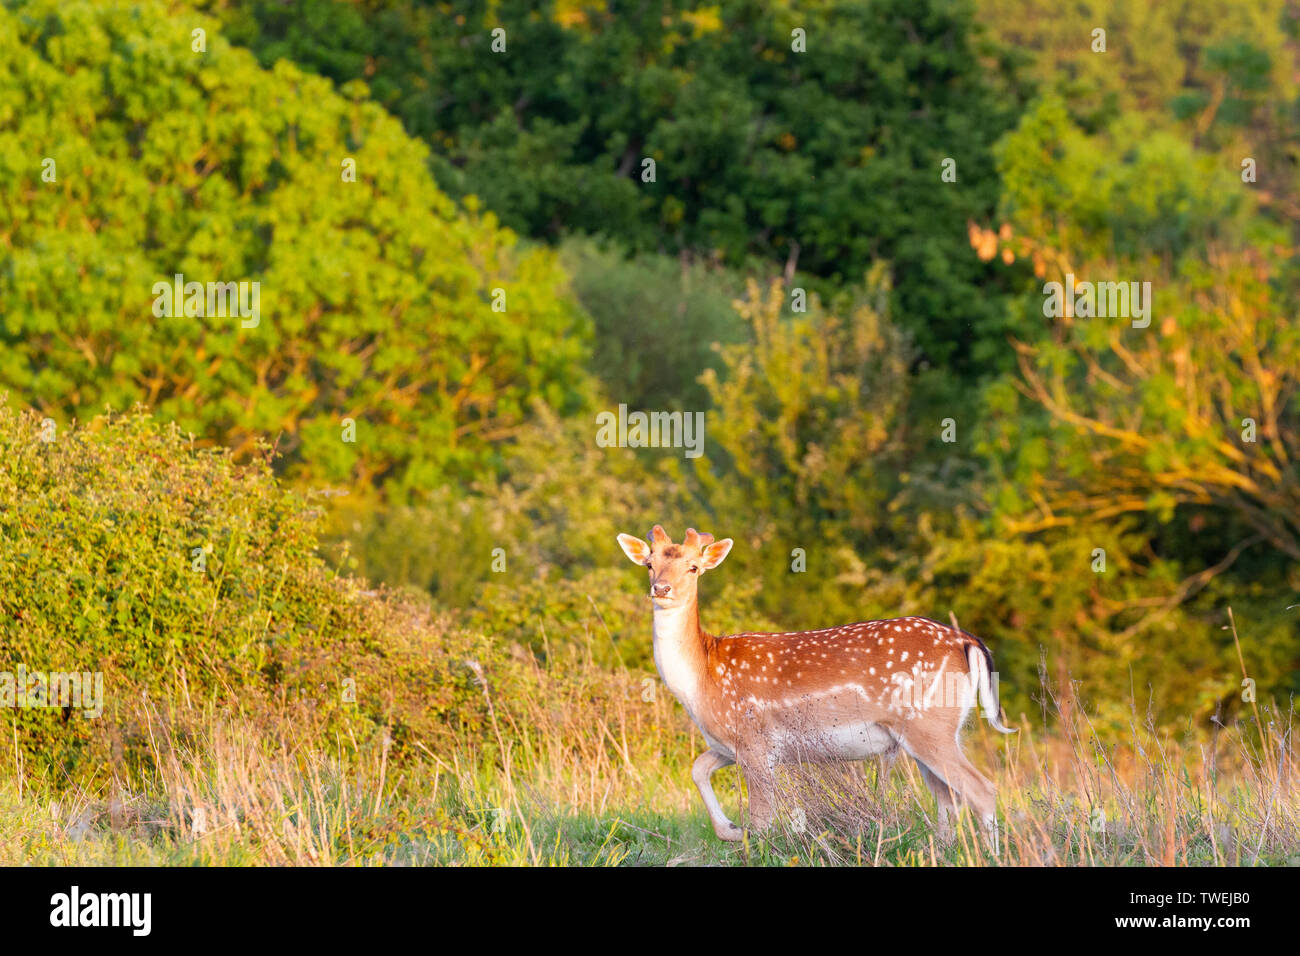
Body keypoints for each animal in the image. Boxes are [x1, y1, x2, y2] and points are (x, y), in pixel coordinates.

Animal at [616, 525, 1016, 845]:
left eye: (694, 567)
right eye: (649, 564)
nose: (661, 588)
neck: (702, 679)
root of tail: (967, 642)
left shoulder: (753, 739)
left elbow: (762, 820)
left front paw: (752, 841)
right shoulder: (729, 744)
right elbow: (698, 768)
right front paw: (729, 829)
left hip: (929, 725)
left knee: (981, 790)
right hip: (935, 732)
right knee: (948, 799)